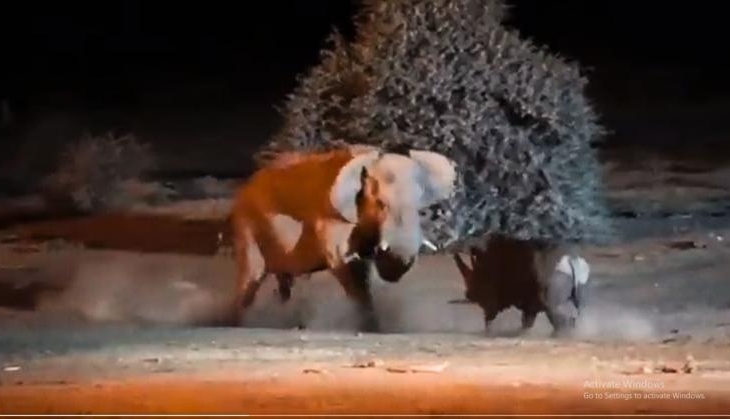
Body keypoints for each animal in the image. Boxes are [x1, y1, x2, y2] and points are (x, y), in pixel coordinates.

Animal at [229, 144, 457, 332]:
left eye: (420, 208)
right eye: (380, 204)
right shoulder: (332, 218)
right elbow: (345, 265)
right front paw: (371, 328)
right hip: (246, 225)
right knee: (252, 277)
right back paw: (240, 323)